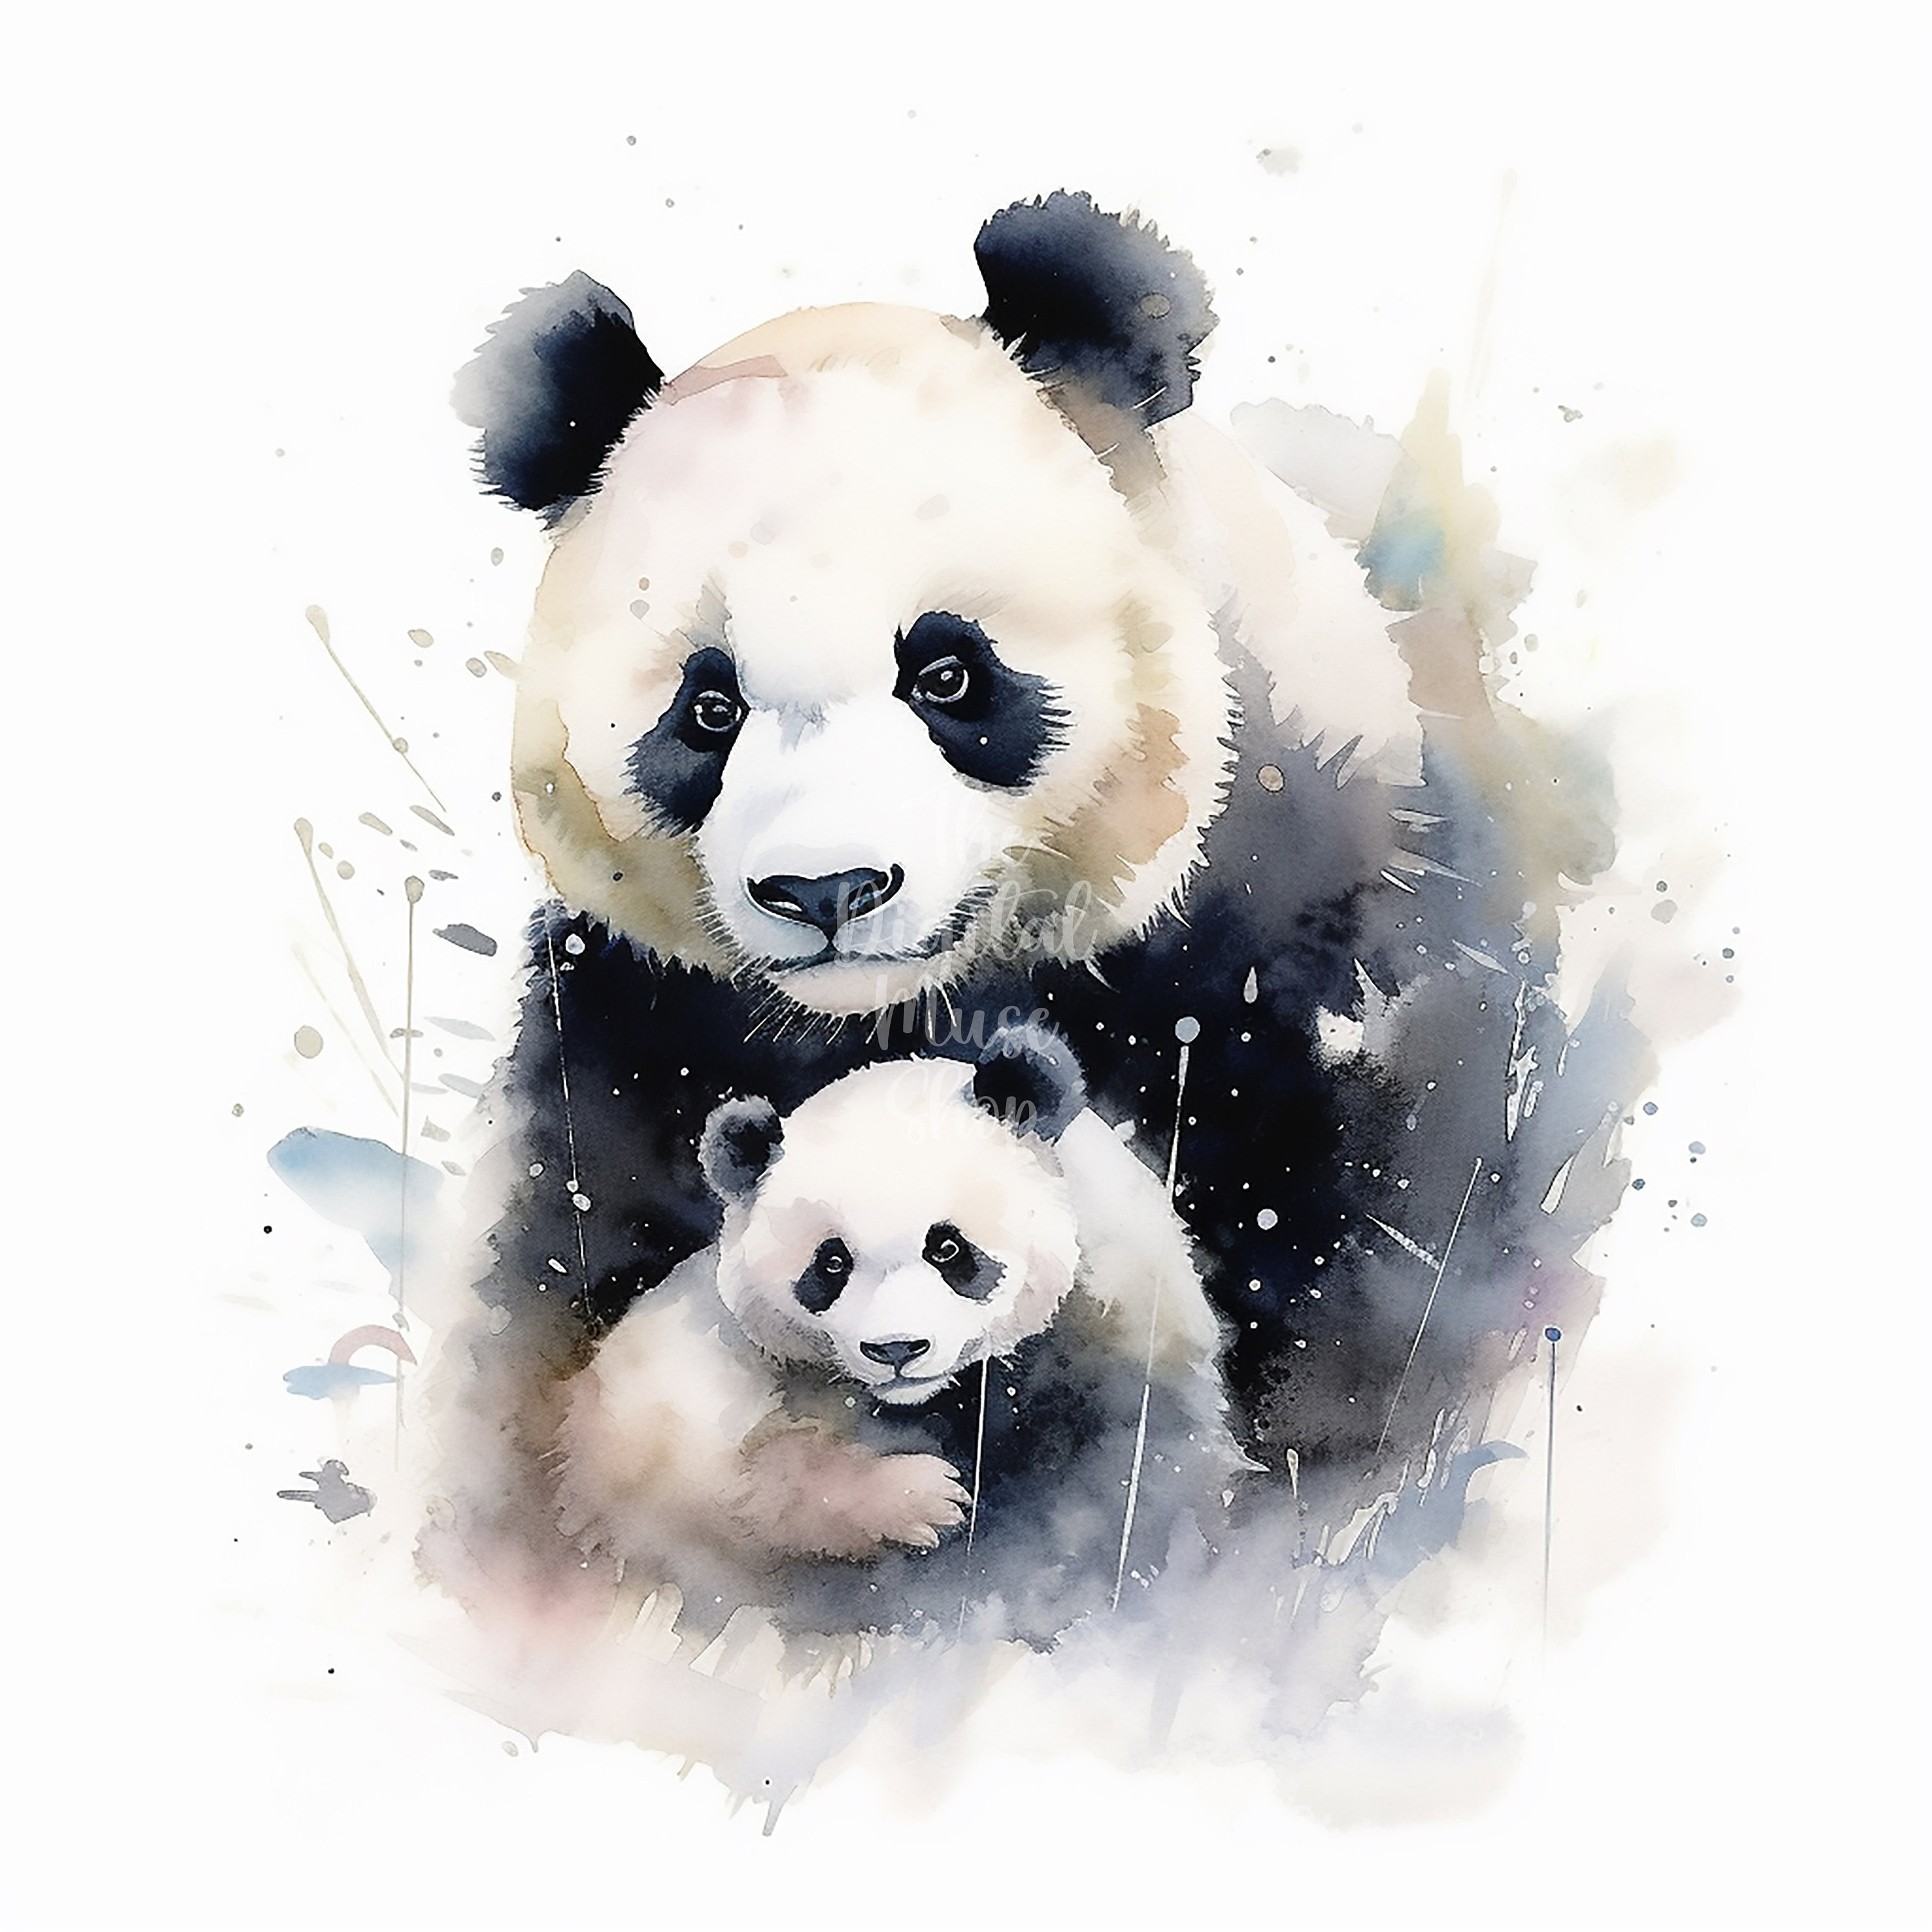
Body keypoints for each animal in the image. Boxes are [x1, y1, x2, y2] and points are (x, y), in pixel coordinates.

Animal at [552, 1023, 1245, 1644]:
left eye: (948, 1247)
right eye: (831, 1264)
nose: (895, 1350)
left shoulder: (1118, 1346)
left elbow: (1129, 1486)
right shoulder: (705, 1374)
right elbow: (719, 1487)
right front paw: (921, 1498)